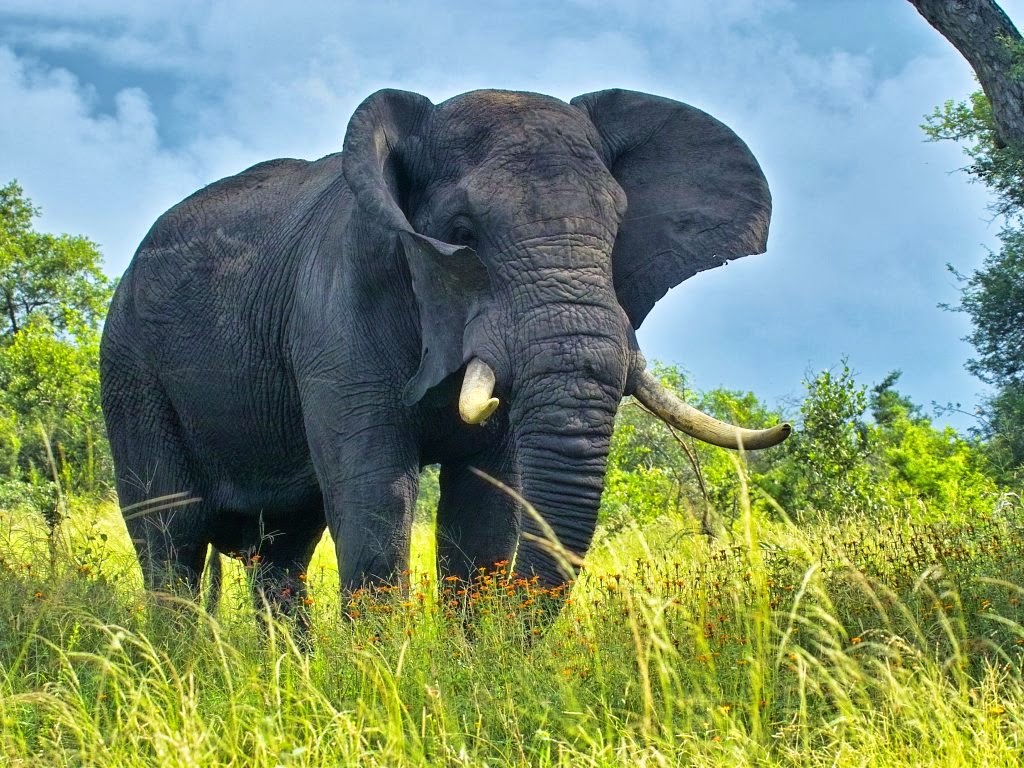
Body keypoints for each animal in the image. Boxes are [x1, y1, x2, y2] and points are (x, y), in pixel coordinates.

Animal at [99, 88, 791, 619]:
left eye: (617, 233)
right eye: (461, 234)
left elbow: (483, 507)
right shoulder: (336, 311)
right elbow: (376, 493)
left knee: (283, 549)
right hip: (130, 368)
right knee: (171, 536)